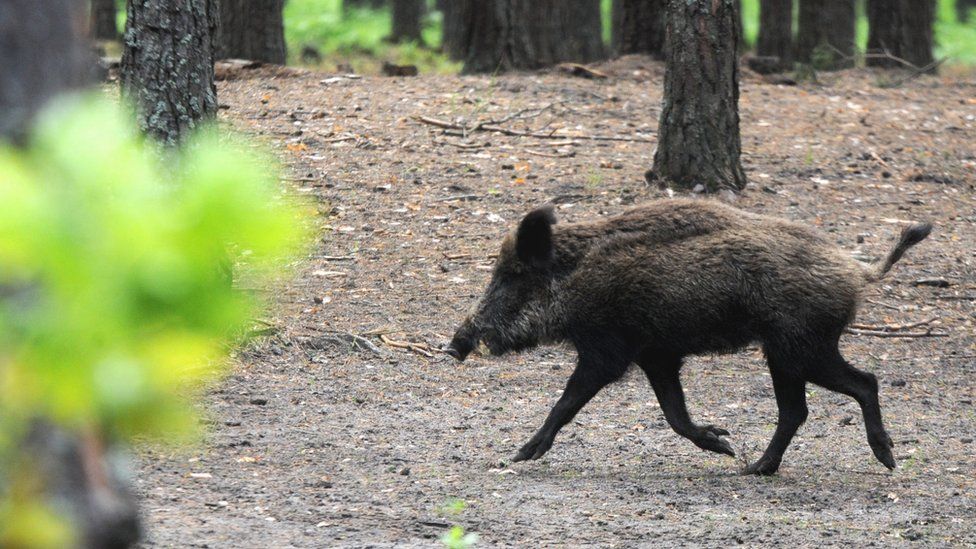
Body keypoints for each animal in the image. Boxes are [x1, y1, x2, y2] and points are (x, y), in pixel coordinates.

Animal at [447, 198, 932, 475]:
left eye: (512, 276)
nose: (454, 345)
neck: (575, 279)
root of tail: (858, 271)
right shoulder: (657, 356)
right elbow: (674, 414)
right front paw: (722, 442)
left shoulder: (608, 351)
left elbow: (566, 403)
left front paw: (520, 455)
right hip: (786, 353)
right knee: (798, 409)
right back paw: (752, 468)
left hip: (800, 348)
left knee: (863, 383)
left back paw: (882, 459)